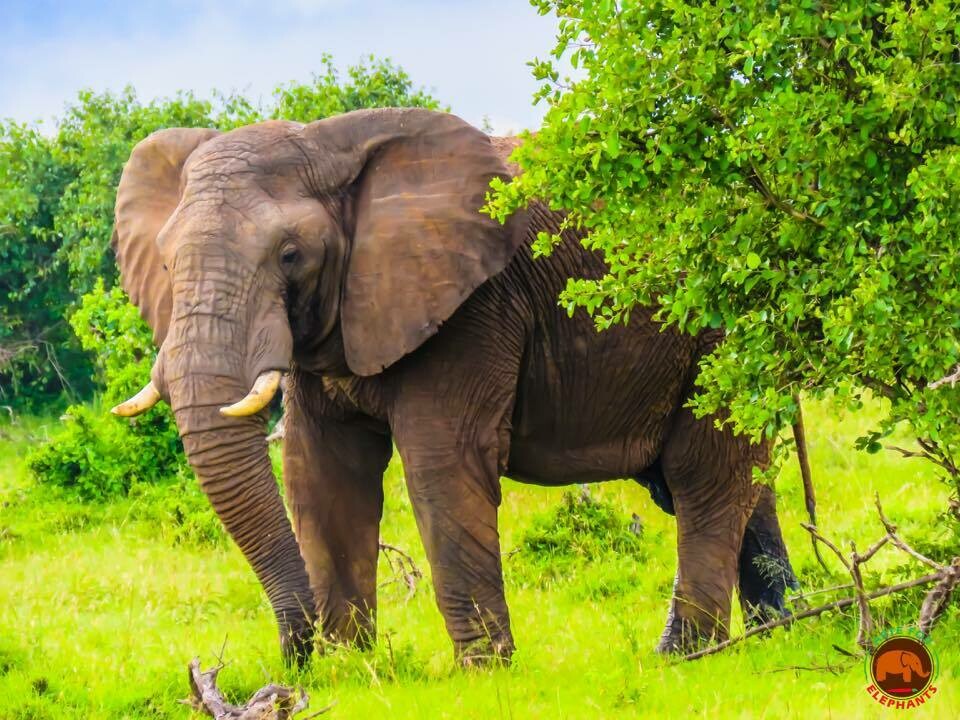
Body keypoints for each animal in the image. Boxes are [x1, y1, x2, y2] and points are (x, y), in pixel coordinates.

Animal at [109, 108, 798, 664]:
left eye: (289, 255)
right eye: (166, 262)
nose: (298, 658)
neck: (325, 143)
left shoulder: (473, 309)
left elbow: (442, 464)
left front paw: (486, 672)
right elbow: (321, 471)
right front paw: (353, 670)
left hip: (720, 328)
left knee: (701, 477)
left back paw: (683, 656)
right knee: (730, 483)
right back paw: (784, 630)